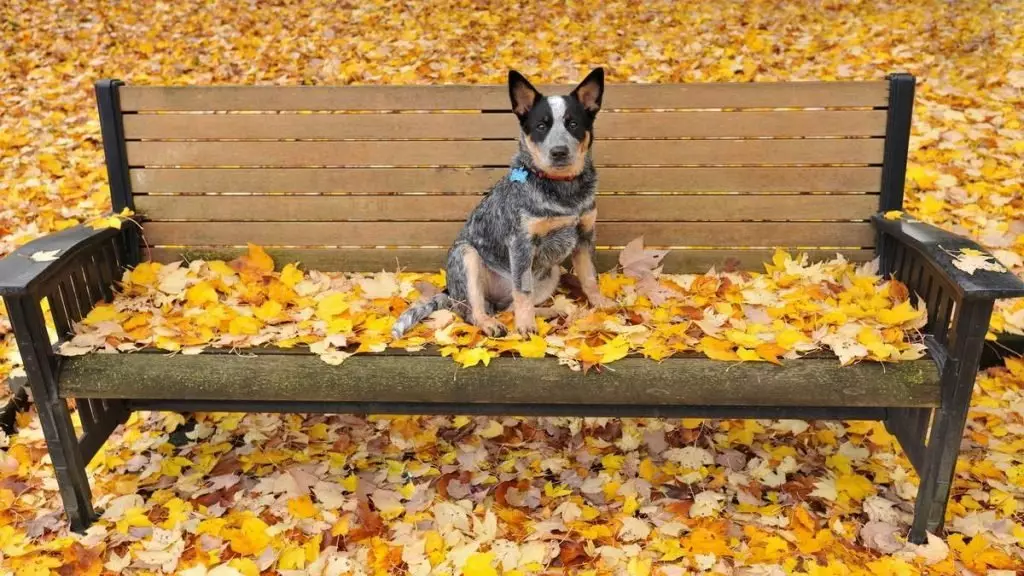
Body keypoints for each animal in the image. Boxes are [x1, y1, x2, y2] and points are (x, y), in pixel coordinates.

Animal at [391, 67, 614, 338]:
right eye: (541, 126)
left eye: (573, 124)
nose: (559, 151)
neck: (563, 190)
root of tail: (450, 293)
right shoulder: (521, 243)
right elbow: (523, 291)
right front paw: (526, 327)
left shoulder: (584, 236)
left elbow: (590, 277)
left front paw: (600, 303)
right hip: (466, 257)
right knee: (472, 311)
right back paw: (490, 323)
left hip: (551, 272)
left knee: (509, 307)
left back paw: (549, 311)